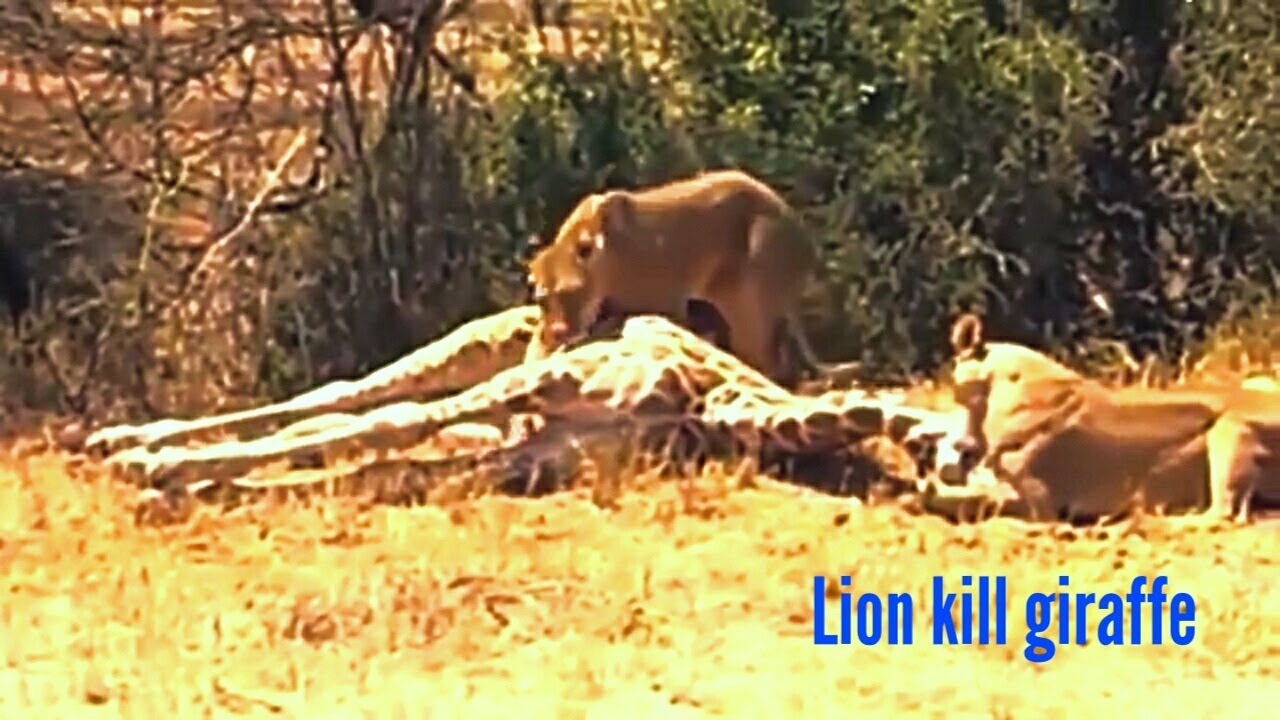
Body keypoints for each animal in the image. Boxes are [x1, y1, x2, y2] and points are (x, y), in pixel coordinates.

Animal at [524, 169, 861, 388]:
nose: (559, 331)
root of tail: (804, 237)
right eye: (542, 299)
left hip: (750, 307)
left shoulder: (664, 304)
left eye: (571, 291)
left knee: (769, 365)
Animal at [945, 313, 1280, 523]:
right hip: (1259, 381)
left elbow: (973, 503)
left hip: (1228, 428)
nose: (962, 447)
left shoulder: (1040, 500)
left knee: (1222, 515)